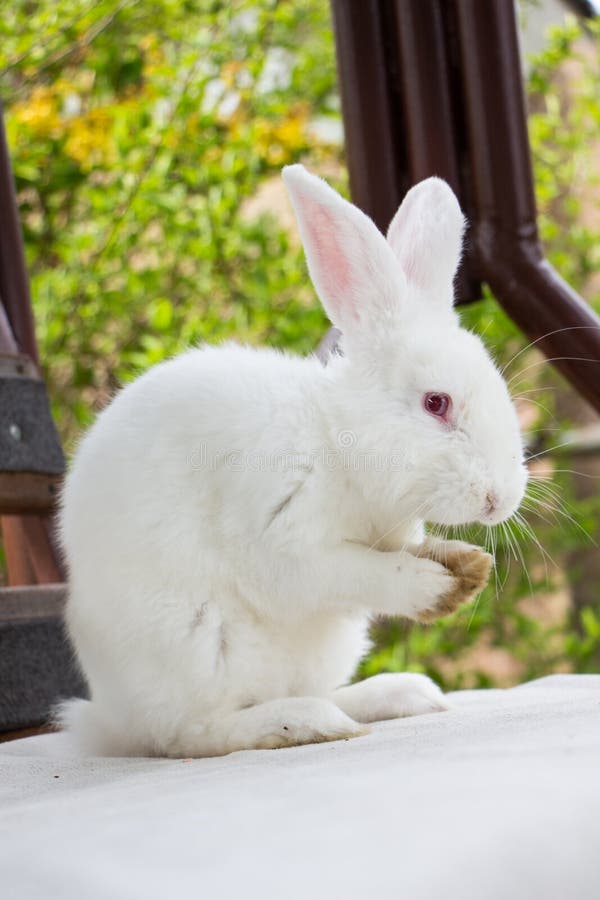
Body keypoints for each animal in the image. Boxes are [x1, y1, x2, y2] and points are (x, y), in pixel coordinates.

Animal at [58, 165, 527, 758]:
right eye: (436, 403)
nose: (501, 498)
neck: (336, 439)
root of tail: (110, 721)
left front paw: (459, 564)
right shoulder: (284, 542)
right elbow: (358, 572)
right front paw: (436, 586)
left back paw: (399, 694)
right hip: (195, 645)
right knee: (193, 733)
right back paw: (304, 722)